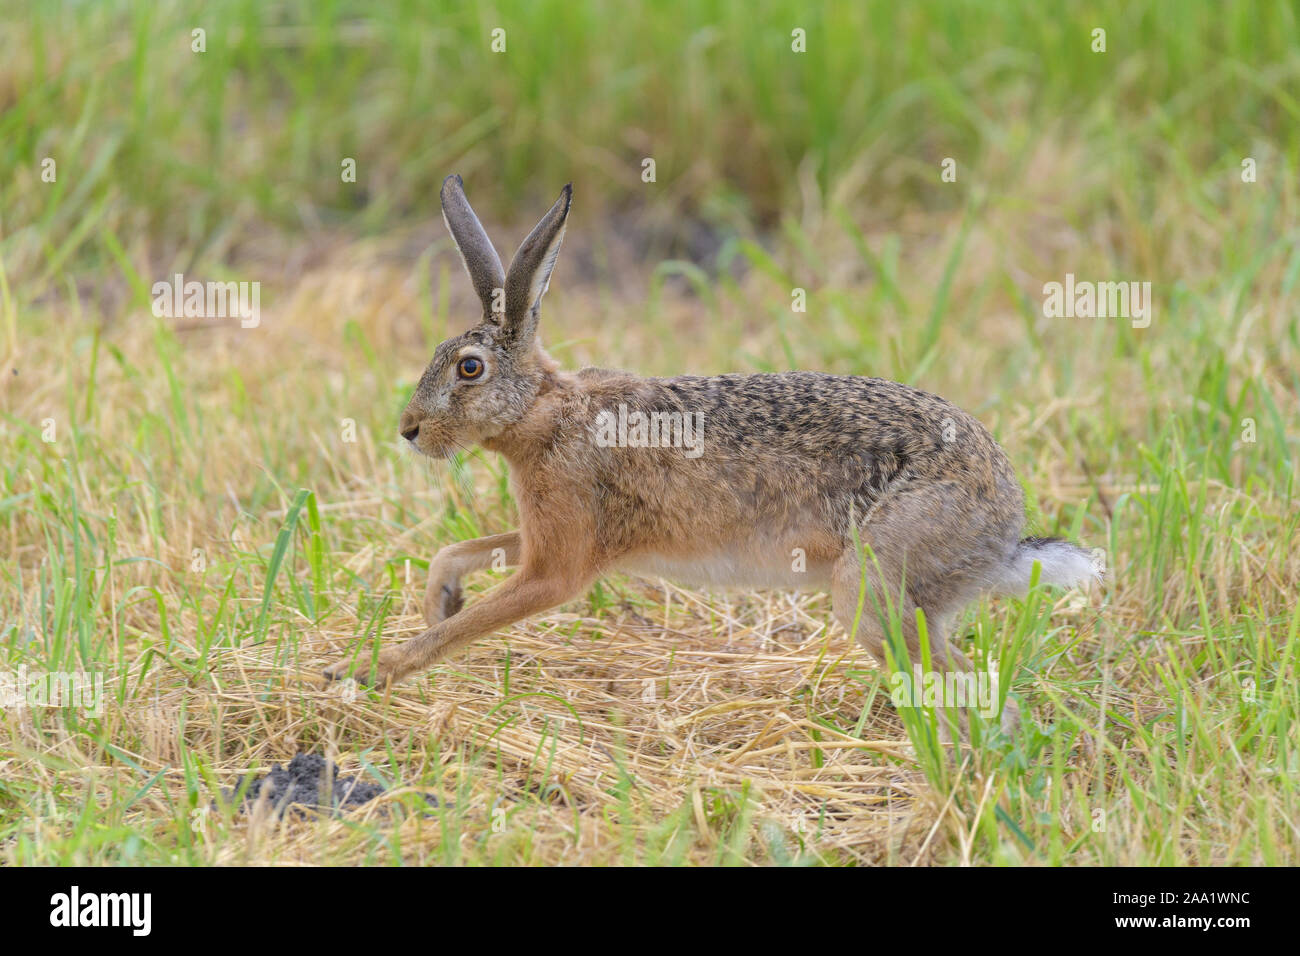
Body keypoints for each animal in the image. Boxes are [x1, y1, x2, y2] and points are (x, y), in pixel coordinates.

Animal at [323, 175, 1097, 735]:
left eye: (470, 369)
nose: (409, 430)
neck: (544, 413)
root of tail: (1004, 530)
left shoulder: (560, 564)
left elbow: (472, 626)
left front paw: (366, 674)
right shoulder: (566, 535)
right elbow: (466, 551)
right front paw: (438, 598)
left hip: (874, 585)